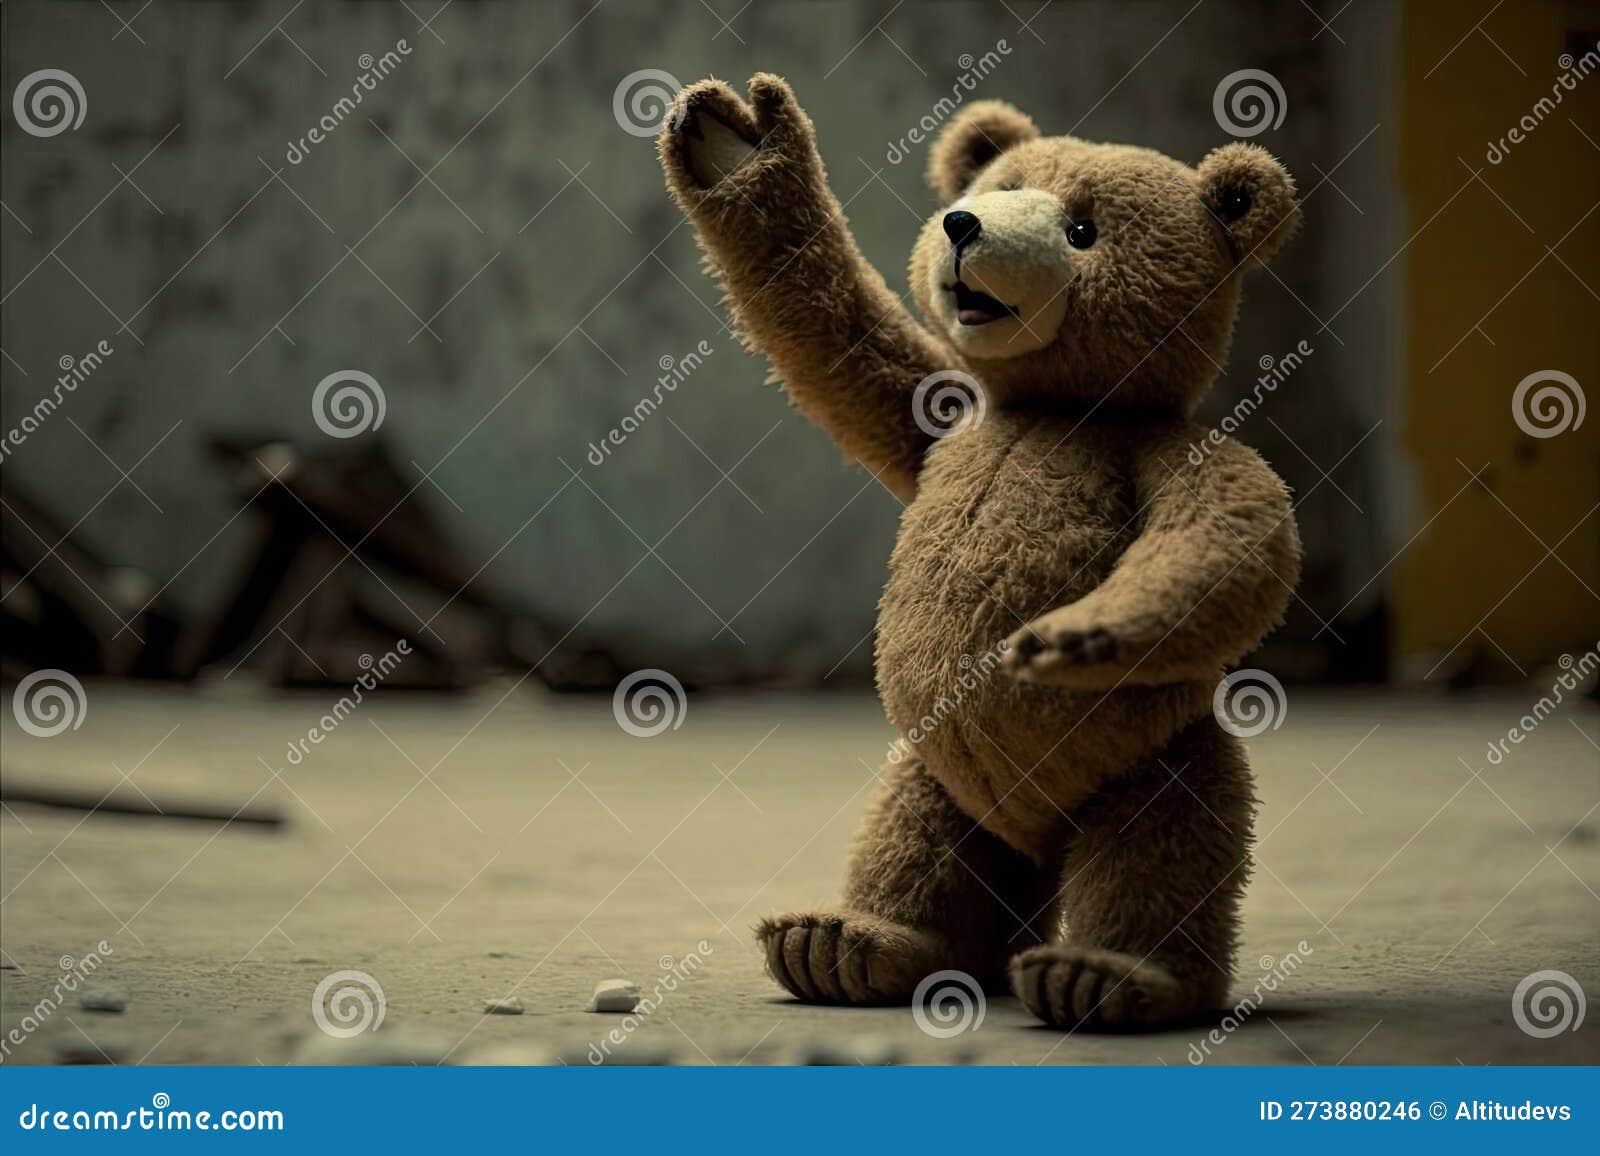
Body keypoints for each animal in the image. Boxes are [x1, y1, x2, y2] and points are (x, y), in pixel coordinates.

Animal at [658, 74, 1302, 1031]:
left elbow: (1233, 538)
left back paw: (1106, 975)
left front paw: (1078, 636)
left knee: (1163, 844)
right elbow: (827, 329)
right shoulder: (937, 412)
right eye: (1002, 187)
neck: (1055, 410)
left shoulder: (1167, 451)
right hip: (937, 770)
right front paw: (734, 145)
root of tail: (1040, 842)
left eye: (1083, 229)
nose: (963, 224)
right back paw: (851, 945)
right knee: (917, 839)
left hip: (1151, 759)